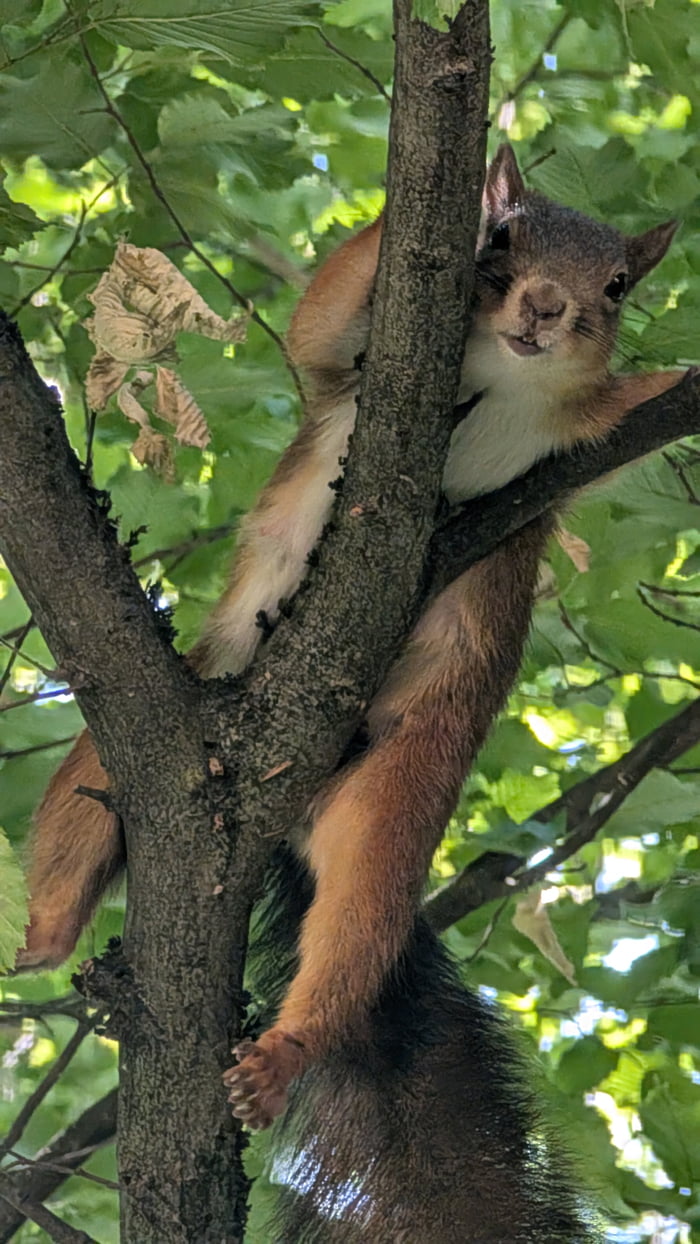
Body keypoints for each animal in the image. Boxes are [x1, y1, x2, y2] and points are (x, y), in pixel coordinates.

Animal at [17, 145, 683, 1240]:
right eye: (507, 242)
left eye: (619, 286)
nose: (546, 307)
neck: (501, 382)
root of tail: (291, 824)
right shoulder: (344, 376)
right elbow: (319, 319)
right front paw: (469, 185)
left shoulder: (586, 435)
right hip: (109, 761)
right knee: (73, 833)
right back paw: (42, 939)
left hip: (393, 808)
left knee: (347, 947)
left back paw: (281, 1054)